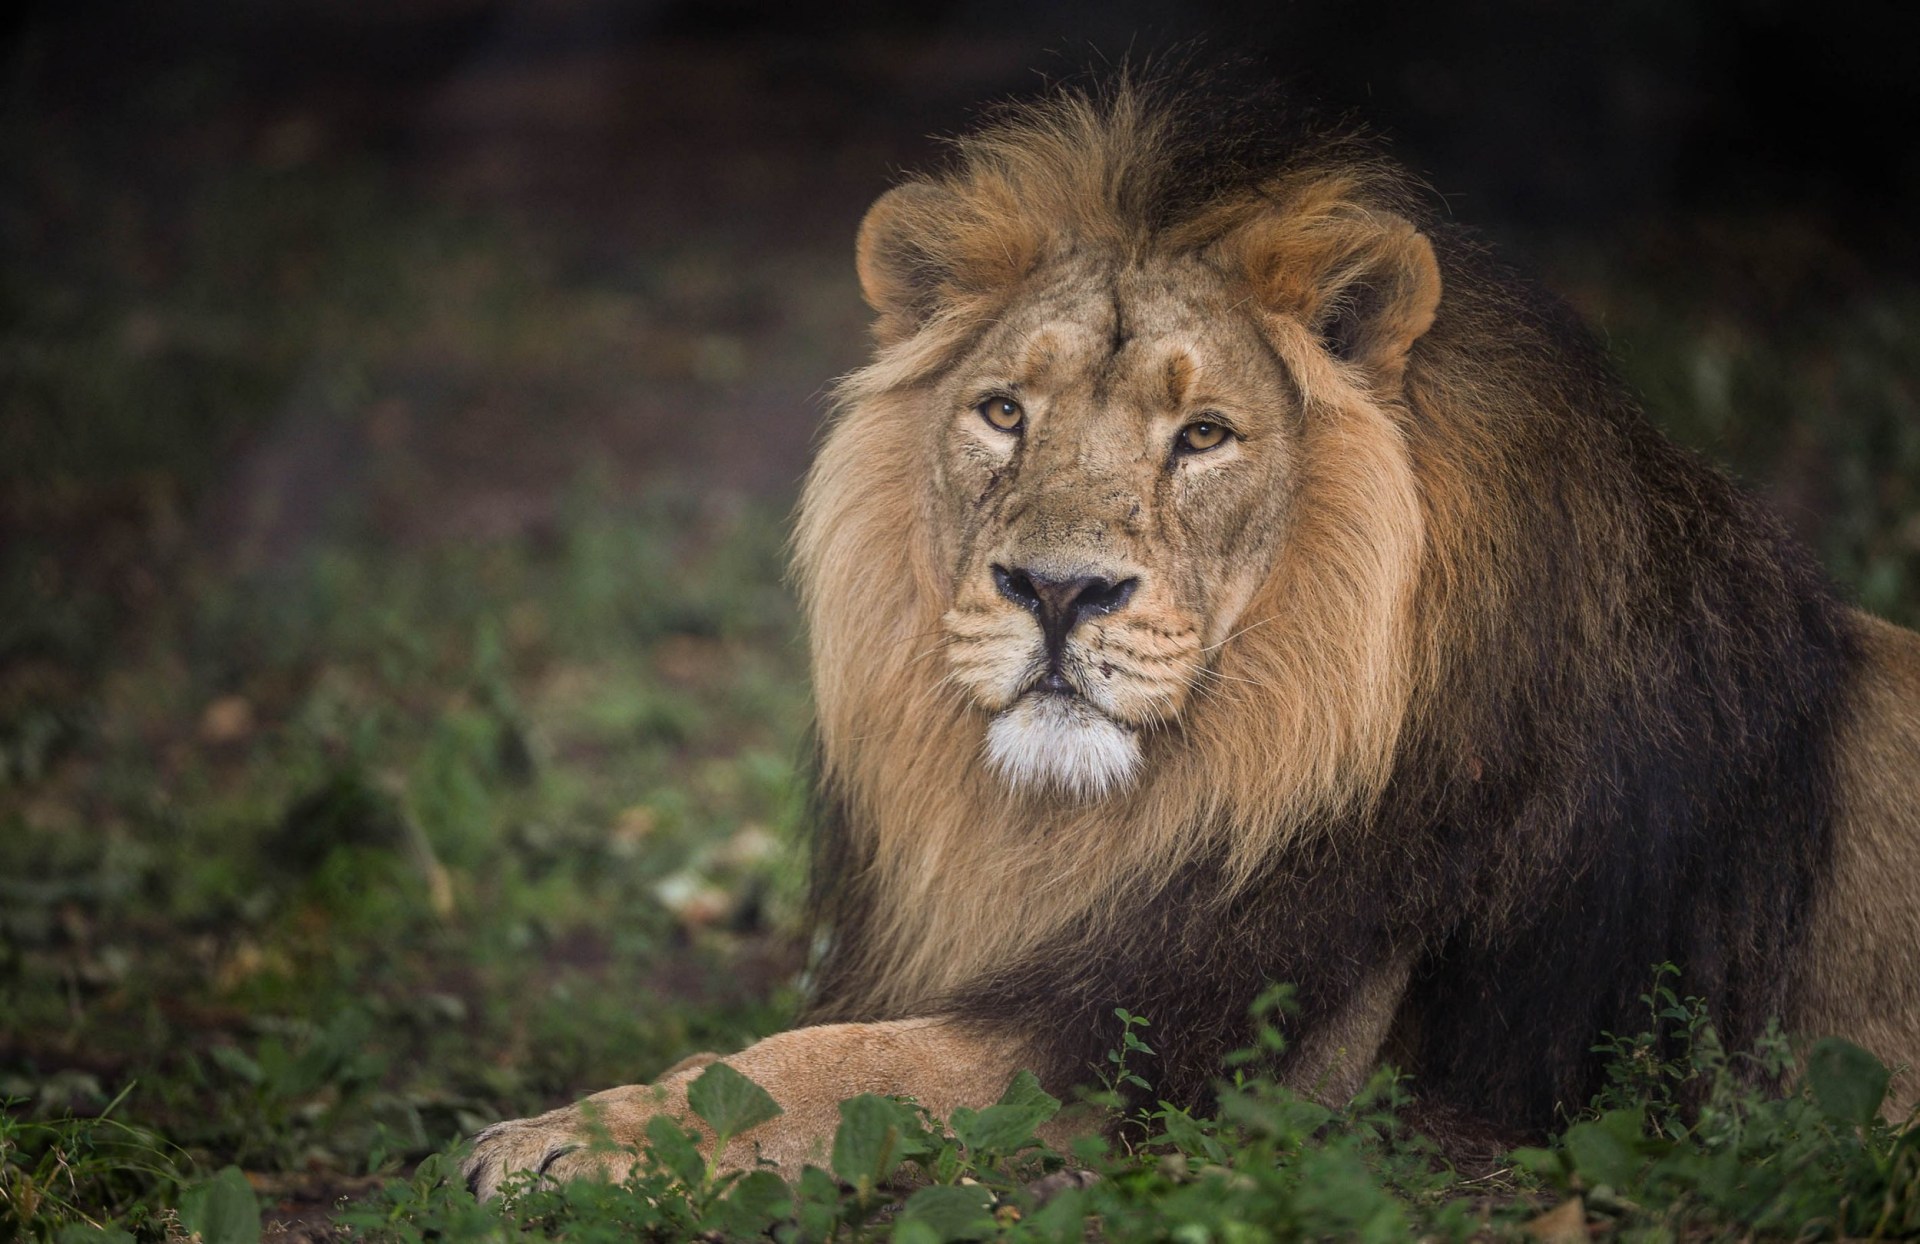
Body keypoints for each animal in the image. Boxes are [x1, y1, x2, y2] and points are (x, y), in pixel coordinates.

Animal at [462, 80, 1920, 1199]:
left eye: (1205, 434)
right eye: (1003, 411)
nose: (1057, 591)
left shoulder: (1225, 1048)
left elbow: (836, 1064)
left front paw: (561, 1143)